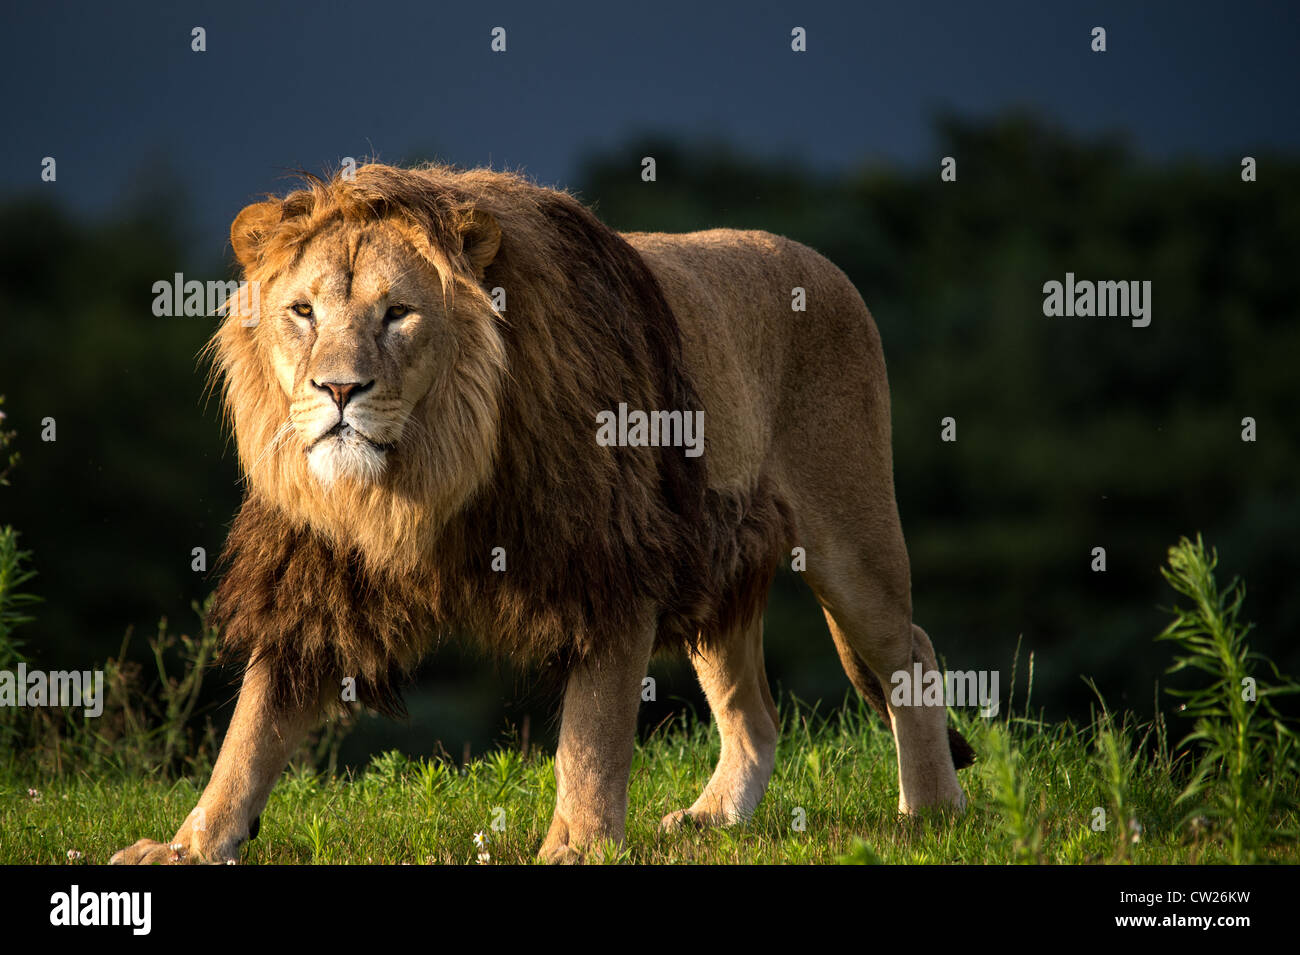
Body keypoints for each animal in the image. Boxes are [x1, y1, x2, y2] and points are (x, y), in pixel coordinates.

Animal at [110, 162, 972, 865]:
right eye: (302, 311)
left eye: (398, 314)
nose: (339, 389)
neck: (423, 472)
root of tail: (821, 264)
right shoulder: (316, 571)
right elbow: (251, 729)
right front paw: (189, 843)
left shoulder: (609, 556)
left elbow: (590, 733)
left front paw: (579, 845)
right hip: (717, 555)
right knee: (754, 711)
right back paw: (715, 817)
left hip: (850, 539)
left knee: (912, 650)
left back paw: (930, 813)